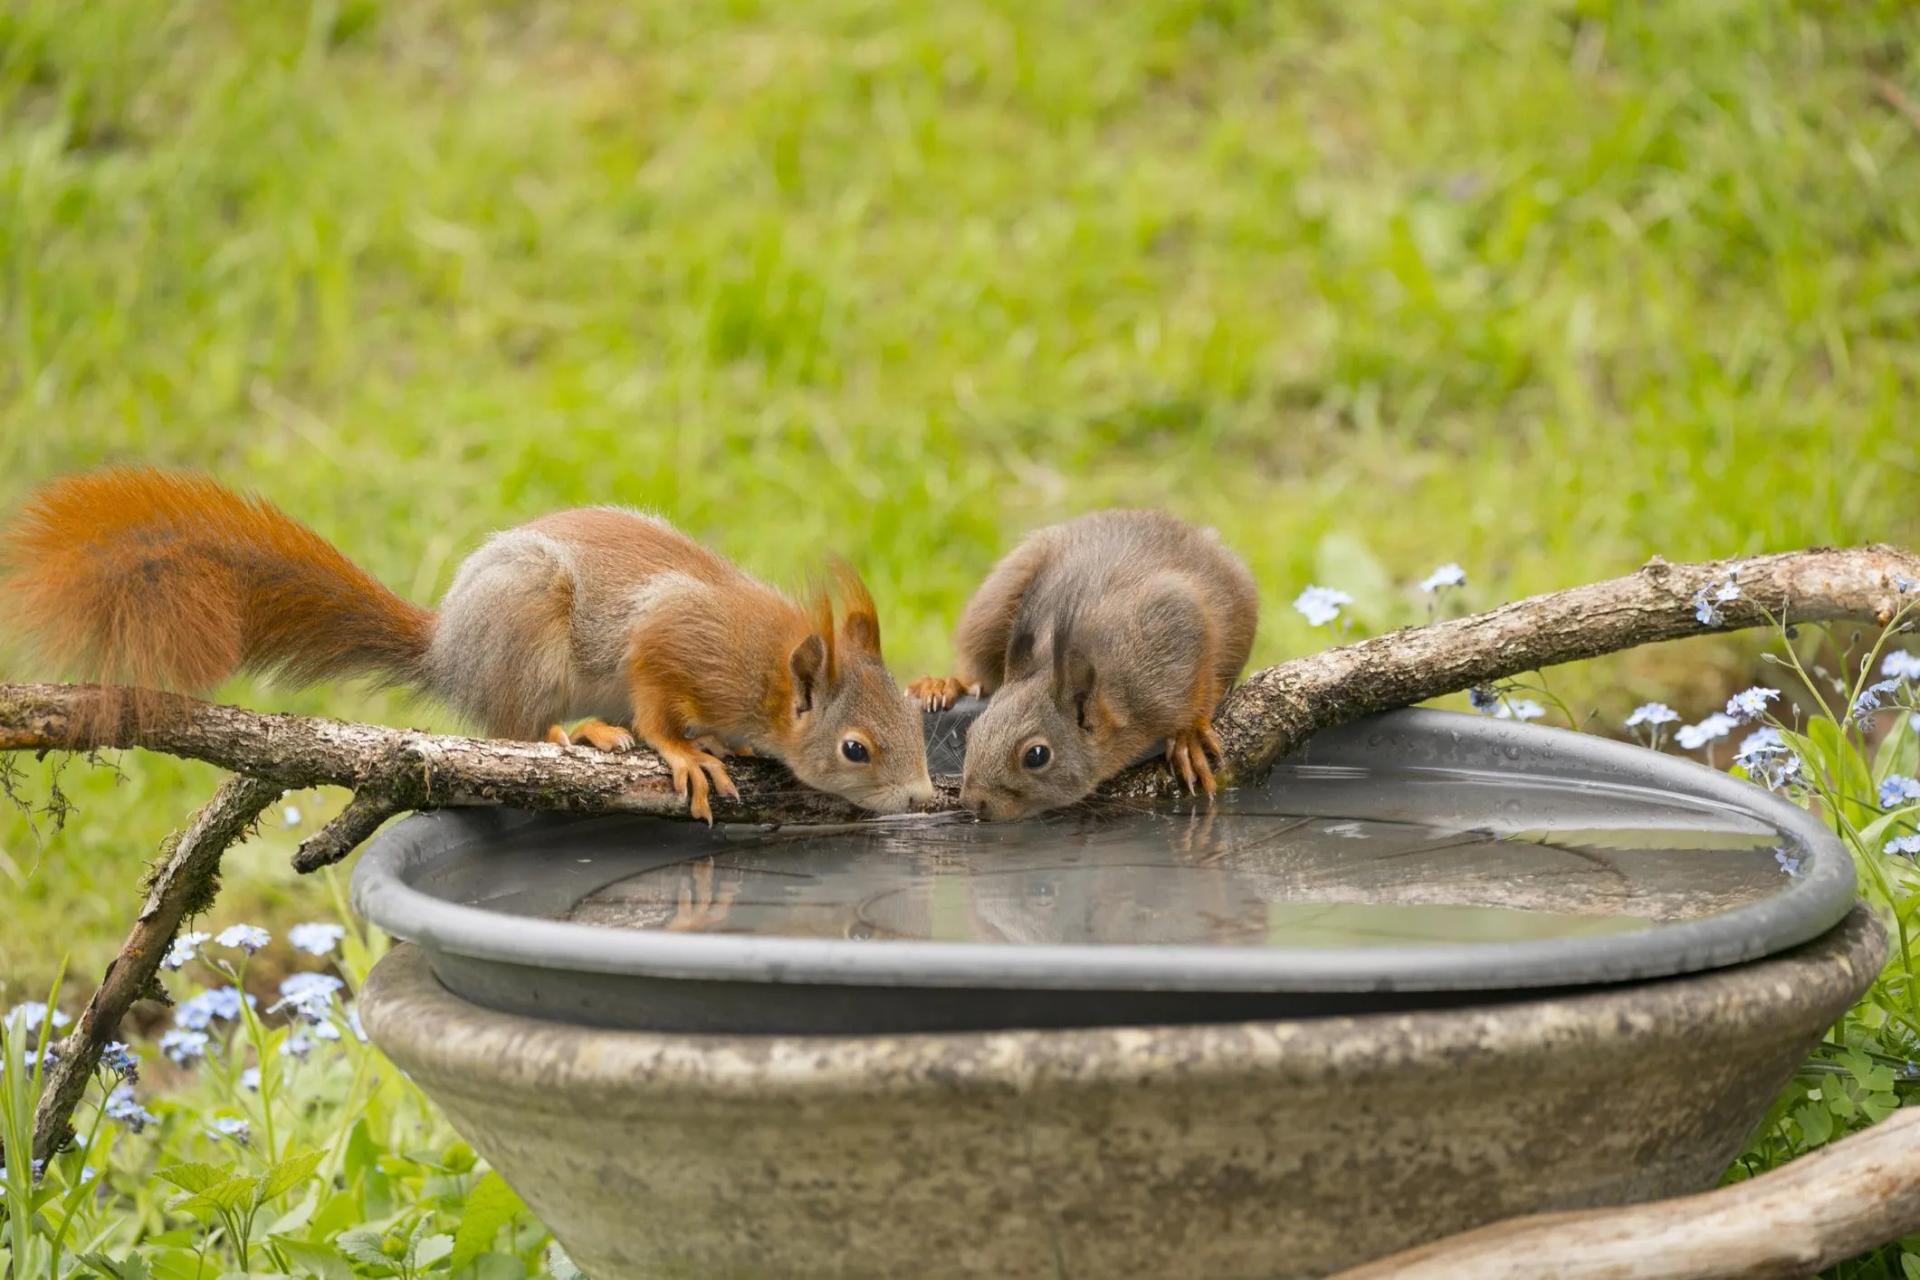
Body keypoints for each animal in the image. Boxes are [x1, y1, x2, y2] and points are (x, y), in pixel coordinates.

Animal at [2, 468, 935, 823]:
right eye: (856, 748)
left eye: (916, 723)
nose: (929, 799)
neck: (772, 674)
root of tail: (448, 646)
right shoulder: (676, 637)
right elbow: (655, 694)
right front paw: (686, 752)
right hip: (526, 633)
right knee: (512, 730)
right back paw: (578, 731)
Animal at [907, 509, 1258, 821]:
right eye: (971, 734)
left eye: (1036, 756)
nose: (973, 802)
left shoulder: (1175, 618)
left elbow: (1203, 673)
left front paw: (1188, 734)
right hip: (999, 594)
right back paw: (943, 685)